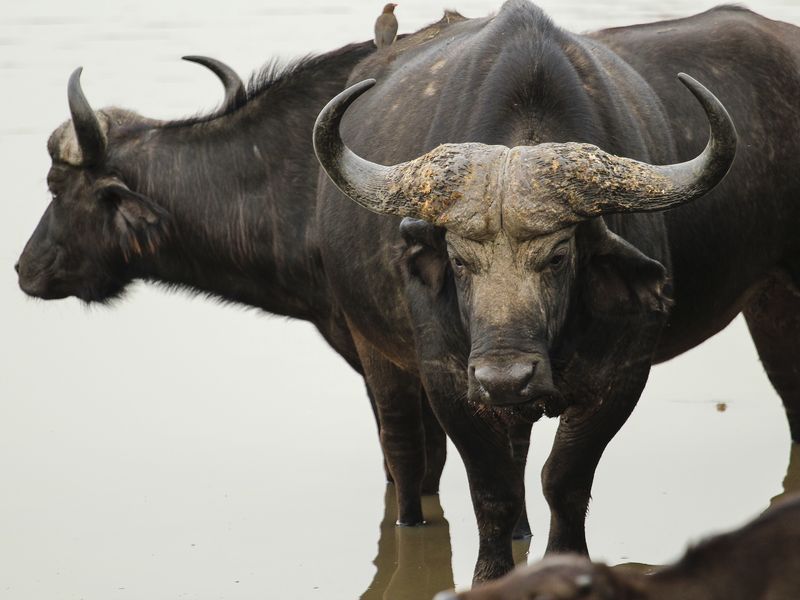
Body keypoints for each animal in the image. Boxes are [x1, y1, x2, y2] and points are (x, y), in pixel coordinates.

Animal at [313, 0, 800, 581]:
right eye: (459, 259)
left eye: (558, 255)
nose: (505, 376)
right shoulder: (448, 379)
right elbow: (494, 488)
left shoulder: (622, 373)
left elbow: (563, 481)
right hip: (373, 345)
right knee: (406, 451)